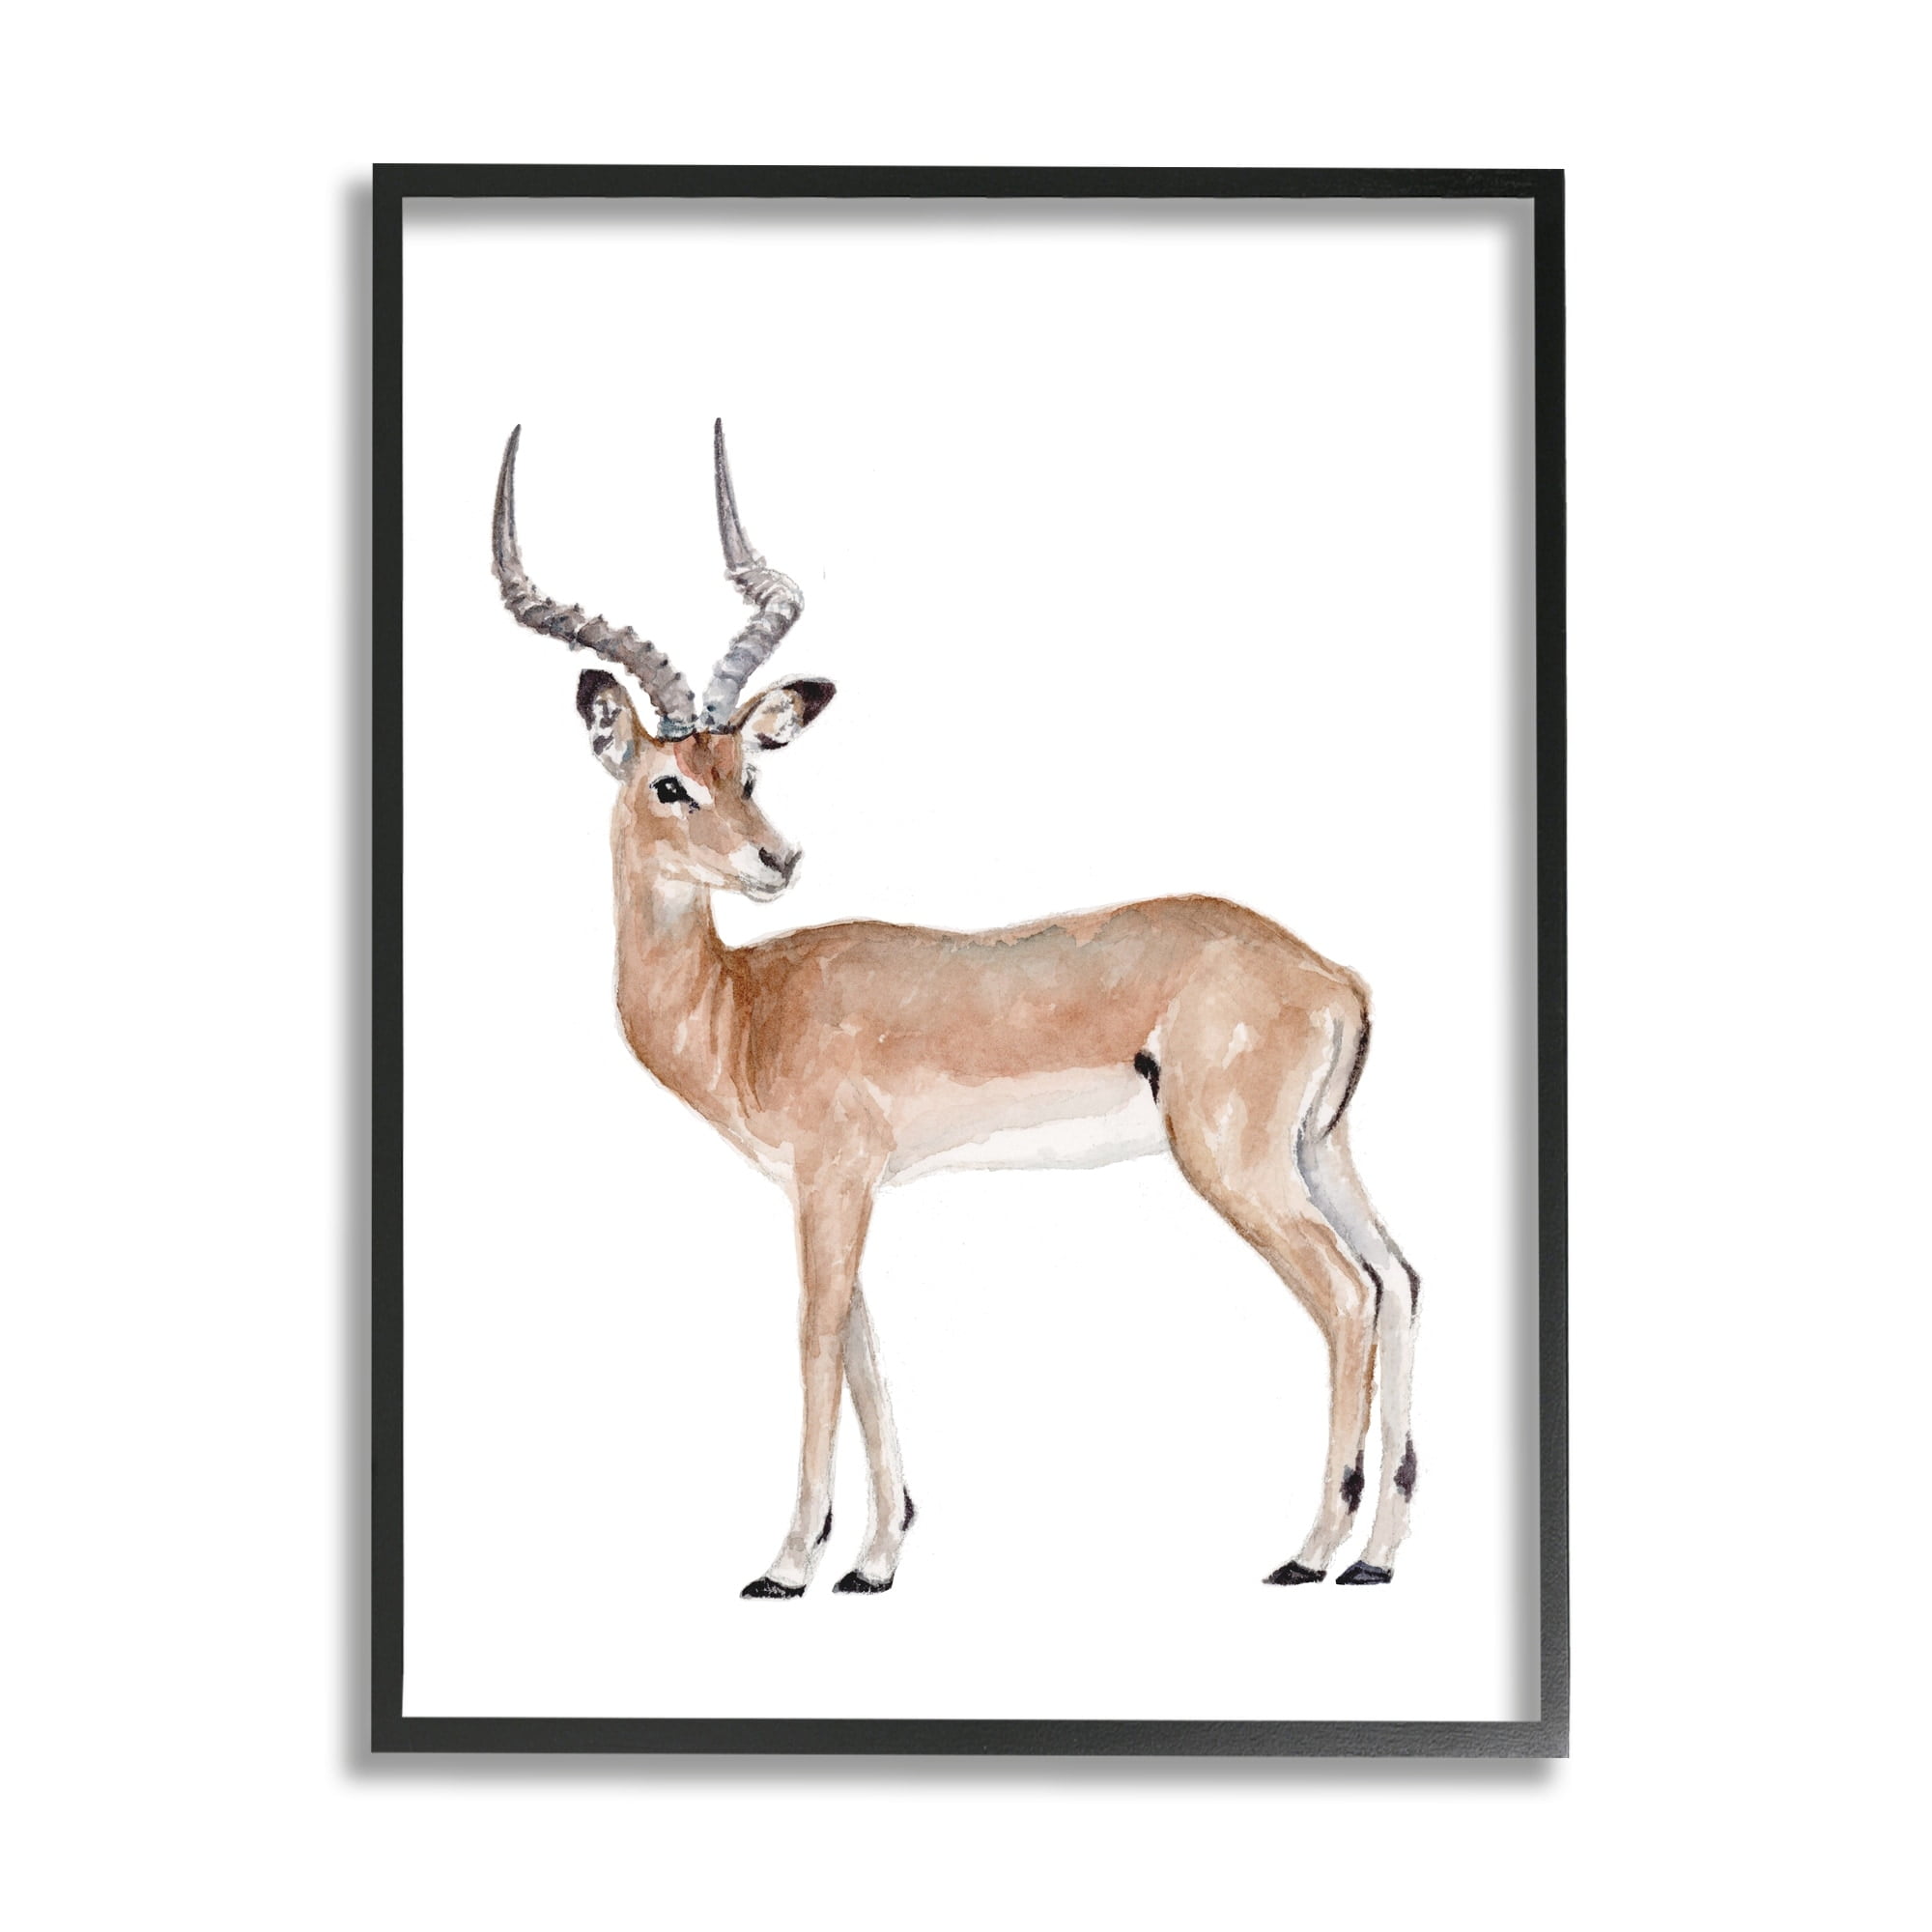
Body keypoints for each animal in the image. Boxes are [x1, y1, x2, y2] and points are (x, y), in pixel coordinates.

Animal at [491, 423, 1420, 1595]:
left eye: (747, 770)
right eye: (672, 782)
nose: (776, 859)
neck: (745, 1005)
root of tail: (1332, 974)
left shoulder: (833, 1184)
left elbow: (815, 1340)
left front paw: (785, 1565)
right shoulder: (828, 1190)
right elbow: (863, 1349)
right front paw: (874, 1561)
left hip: (1237, 1164)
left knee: (1347, 1296)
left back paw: (1308, 1553)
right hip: (1319, 1150)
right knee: (1399, 1278)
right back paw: (1376, 1556)